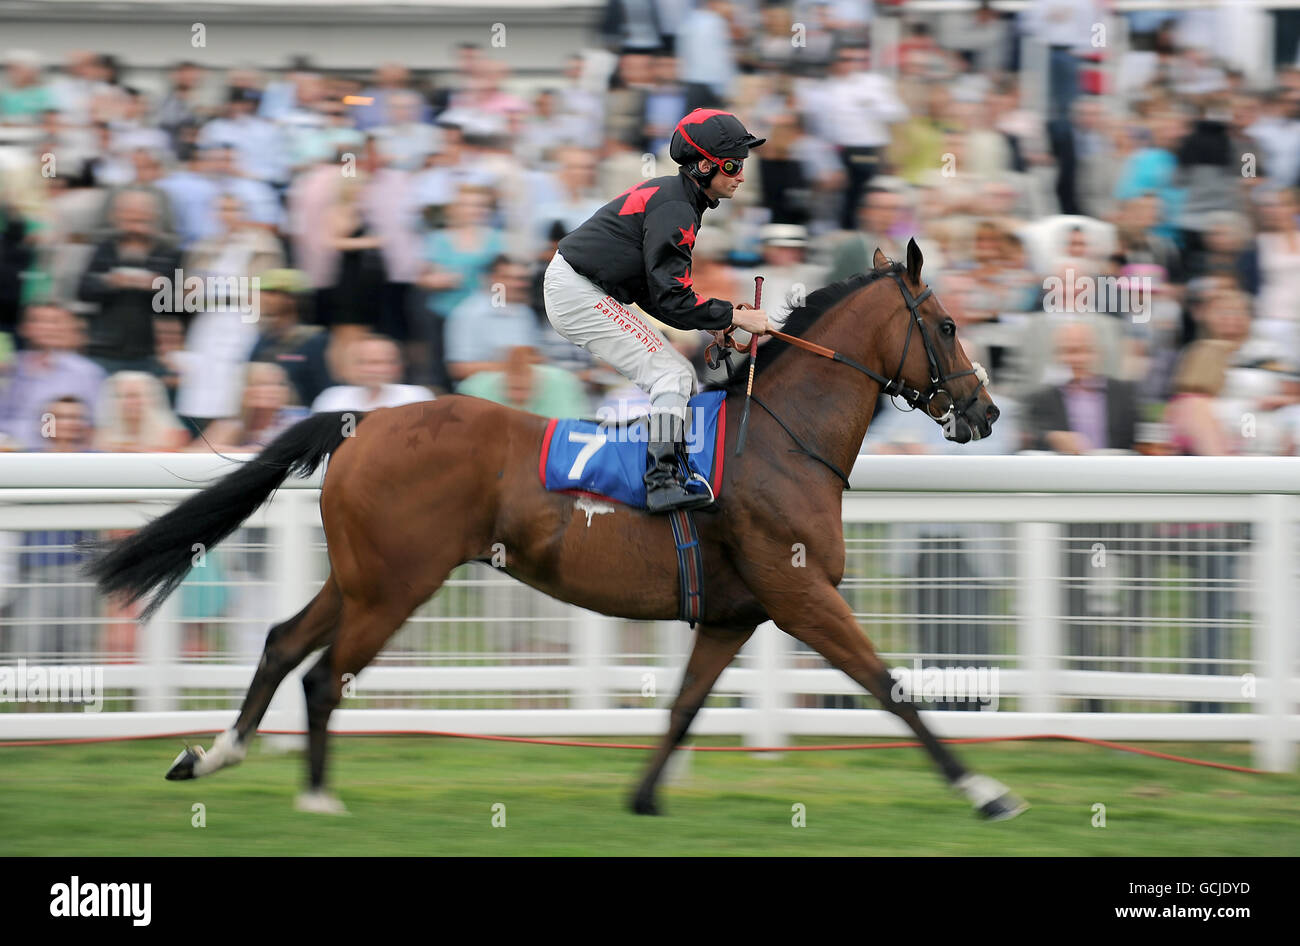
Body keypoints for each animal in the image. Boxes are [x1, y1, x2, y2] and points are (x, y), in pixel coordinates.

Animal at [88, 239, 1026, 820]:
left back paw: (212, 757)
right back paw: (318, 797)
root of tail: (365, 417)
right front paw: (987, 792)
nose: (986, 411)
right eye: (948, 325)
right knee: (324, 675)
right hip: (398, 583)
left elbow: (683, 707)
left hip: (360, 574)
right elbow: (889, 686)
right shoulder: (799, 594)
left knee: (284, 641)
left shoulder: (733, 614)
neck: (782, 438)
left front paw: (643, 798)